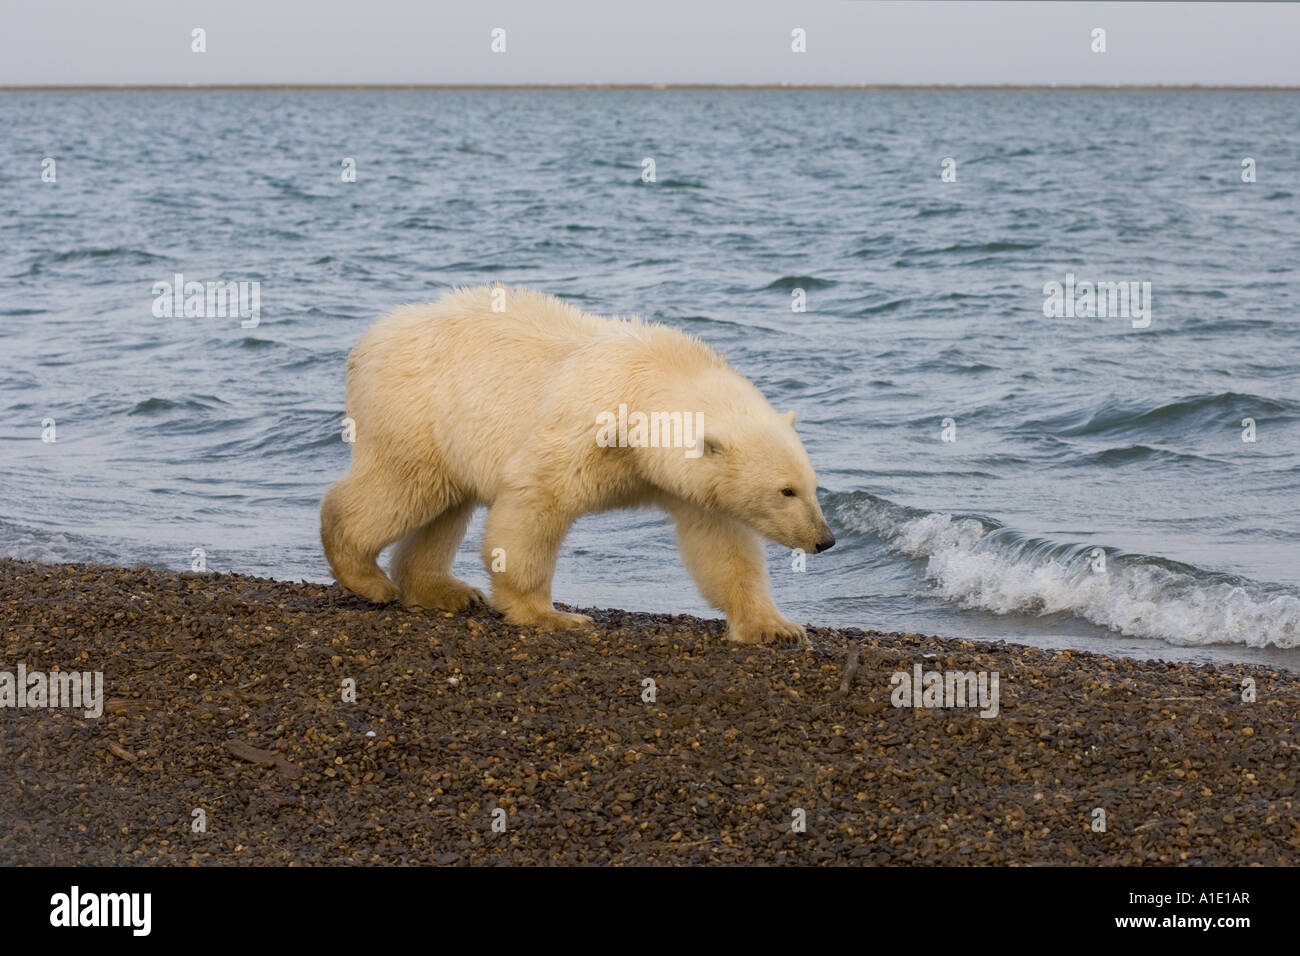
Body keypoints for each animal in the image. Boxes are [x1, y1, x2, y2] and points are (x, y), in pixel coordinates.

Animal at [320, 286, 835, 645]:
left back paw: (444, 591)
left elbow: (722, 545)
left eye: (814, 485)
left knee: (443, 505)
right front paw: (552, 615)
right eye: (785, 490)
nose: (825, 540)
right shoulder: (587, 429)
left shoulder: (683, 483)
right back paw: (367, 577)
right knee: (402, 488)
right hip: (416, 408)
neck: (648, 383)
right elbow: (535, 502)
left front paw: (775, 627)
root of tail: (367, 341)